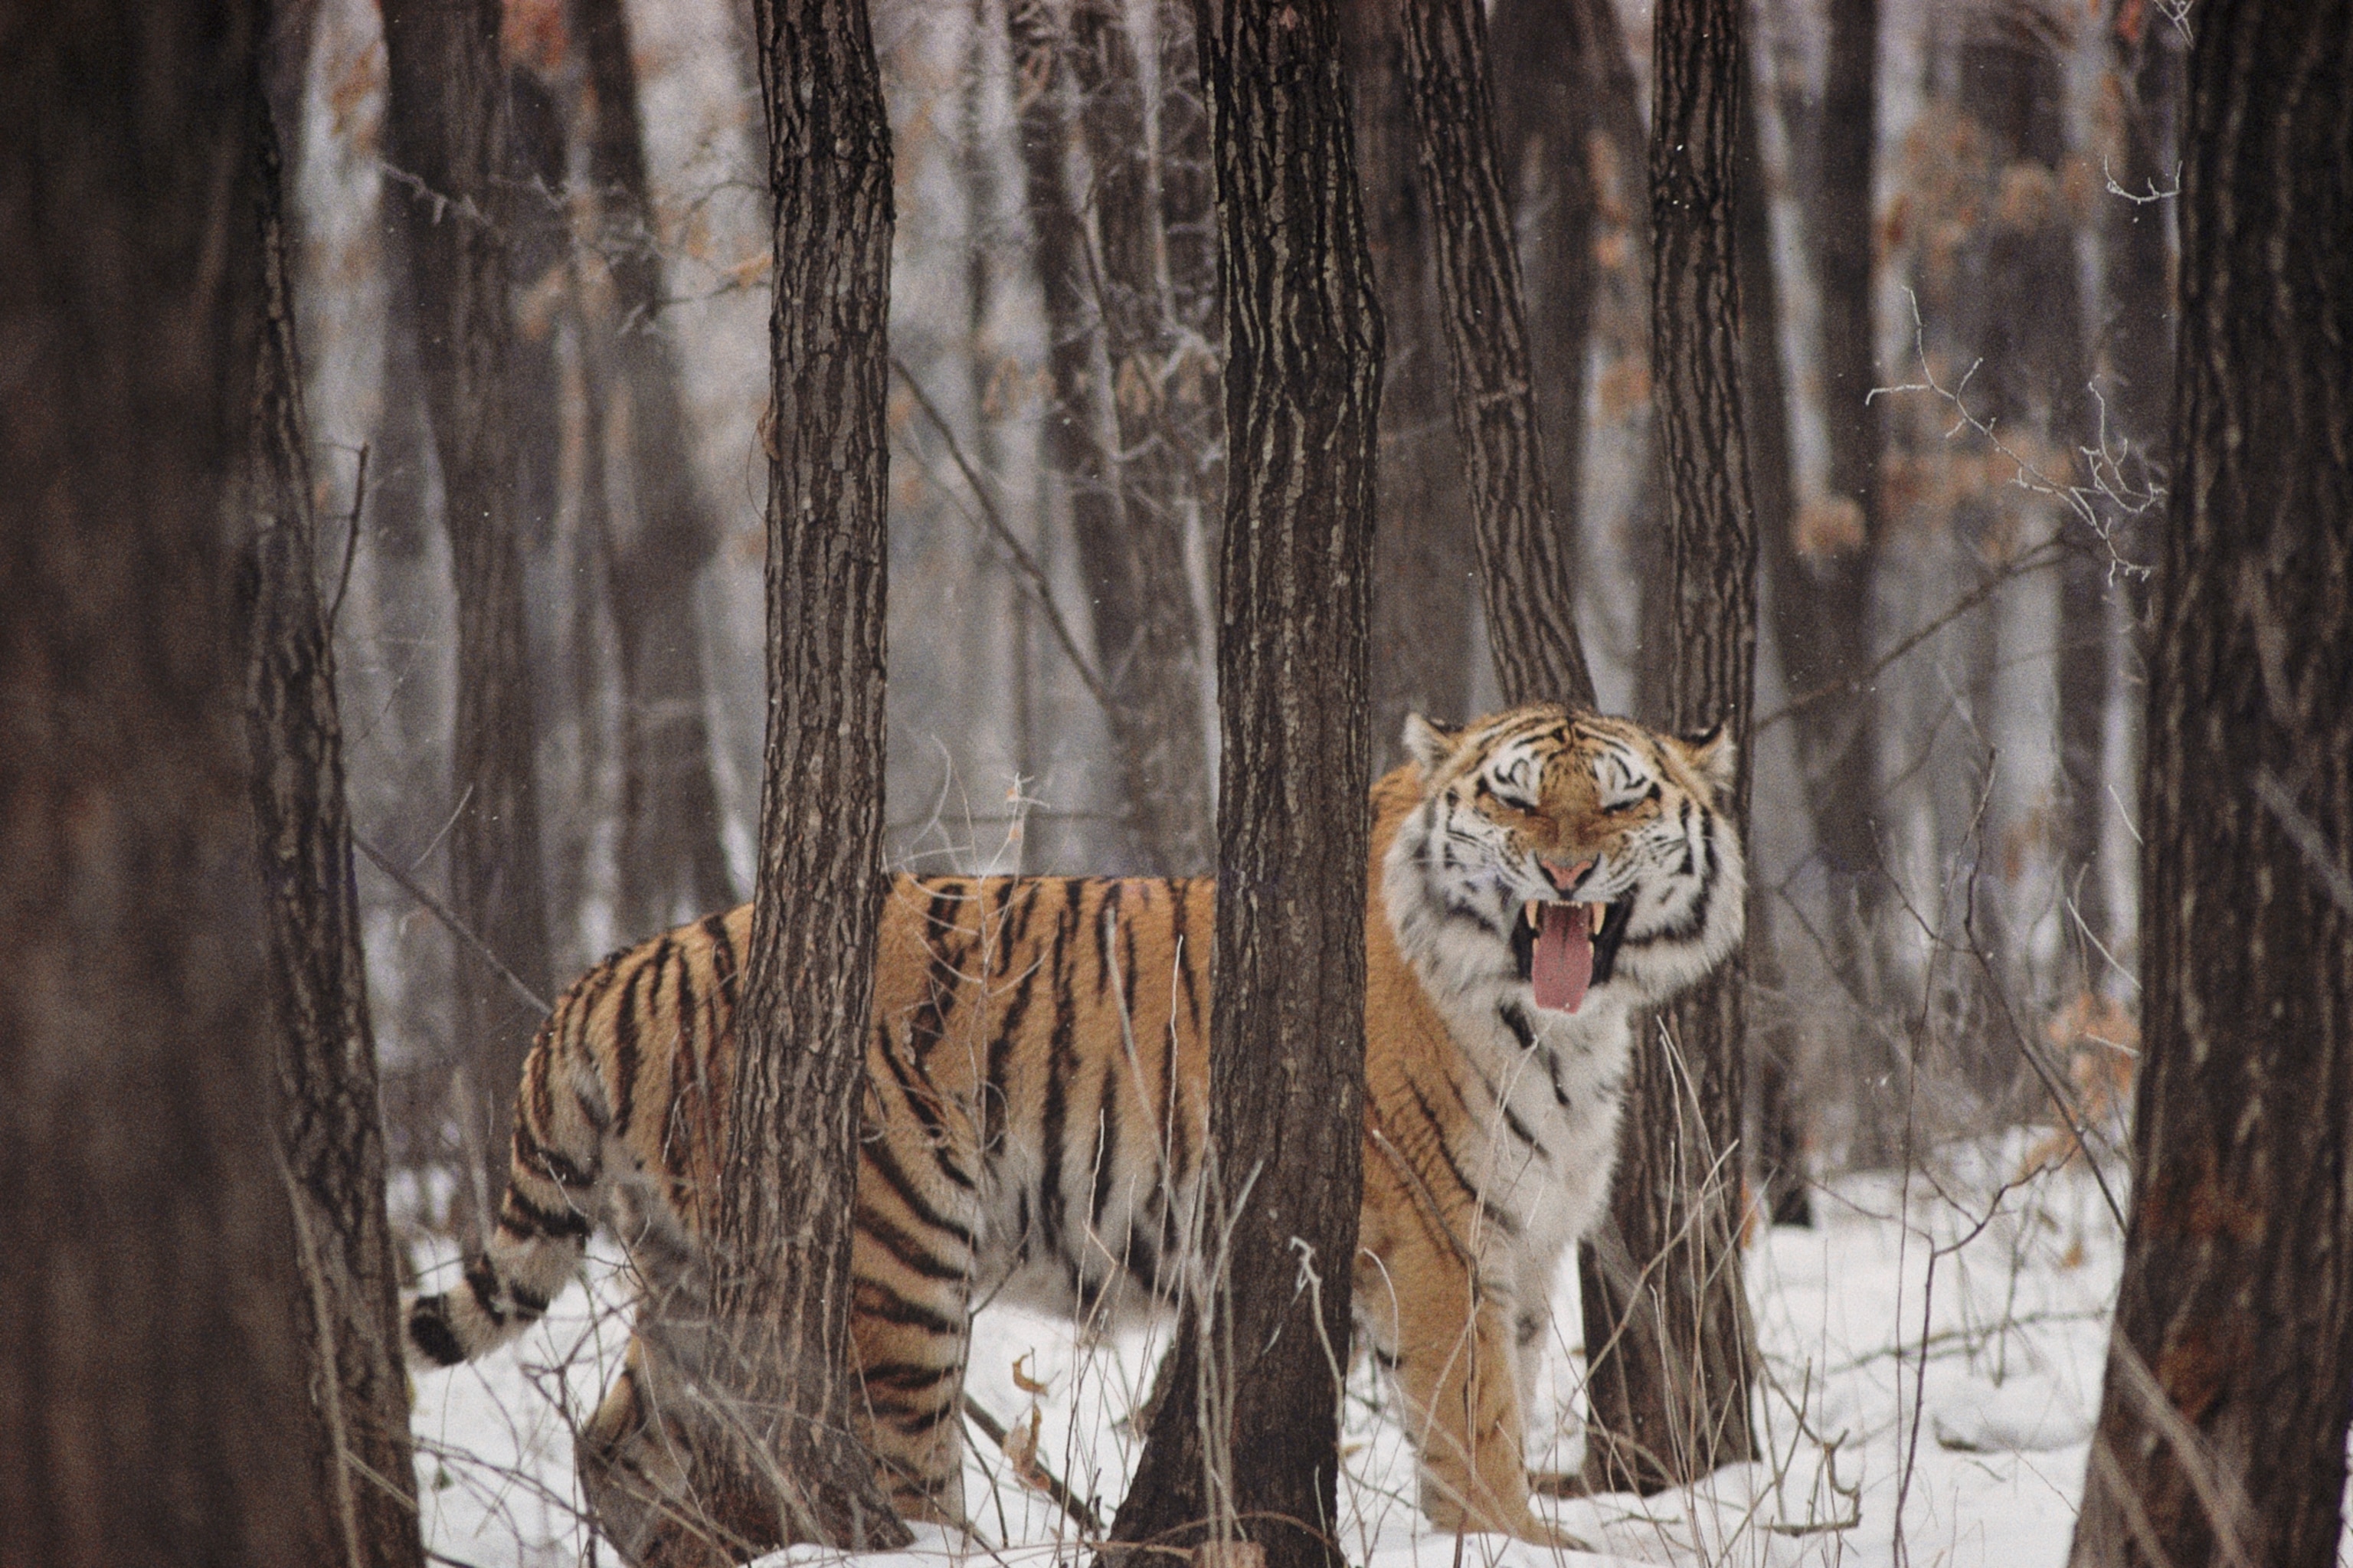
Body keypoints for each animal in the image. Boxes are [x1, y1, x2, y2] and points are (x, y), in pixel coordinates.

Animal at [405, 703, 1745, 1549]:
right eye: (1515, 805)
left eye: (1615, 803)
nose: (1564, 875)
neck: (1571, 1024)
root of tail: (623, 966)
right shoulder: (1437, 1238)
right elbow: (1474, 1424)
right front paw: (1510, 1537)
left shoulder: (1525, 1243)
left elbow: (1504, 1406)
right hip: (899, 1258)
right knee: (893, 1461)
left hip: (694, 1268)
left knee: (622, 1438)